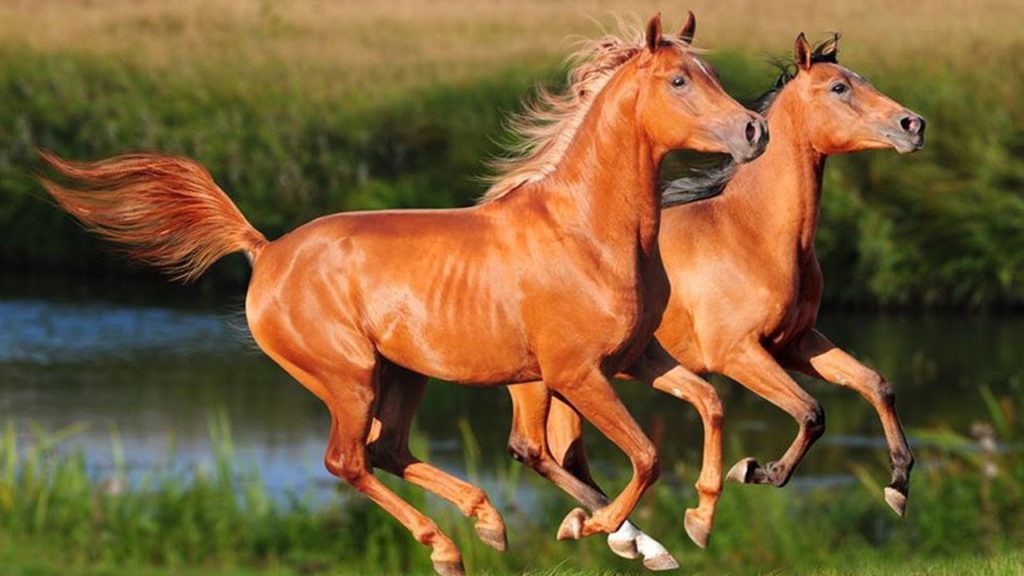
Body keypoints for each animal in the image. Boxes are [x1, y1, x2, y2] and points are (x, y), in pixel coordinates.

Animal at [40, 13, 767, 576]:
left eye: (711, 74)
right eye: (680, 80)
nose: (754, 131)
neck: (587, 232)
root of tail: (266, 251)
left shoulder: (636, 358)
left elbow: (708, 404)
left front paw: (695, 523)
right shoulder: (577, 373)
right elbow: (645, 455)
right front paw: (603, 532)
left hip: (403, 374)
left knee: (387, 450)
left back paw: (485, 524)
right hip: (349, 377)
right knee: (347, 460)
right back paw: (450, 545)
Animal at [505, 32, 926, 561]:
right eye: (839, 88)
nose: (913, 125)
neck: (751, 234)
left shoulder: (797, 344)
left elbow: (875, 384)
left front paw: (898, 486)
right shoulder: (738, 355)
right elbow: (811, 412)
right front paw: (754, 472)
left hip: (573, 384)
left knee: (566, 455)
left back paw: (618, 533)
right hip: (544, 380)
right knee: (532, 448)